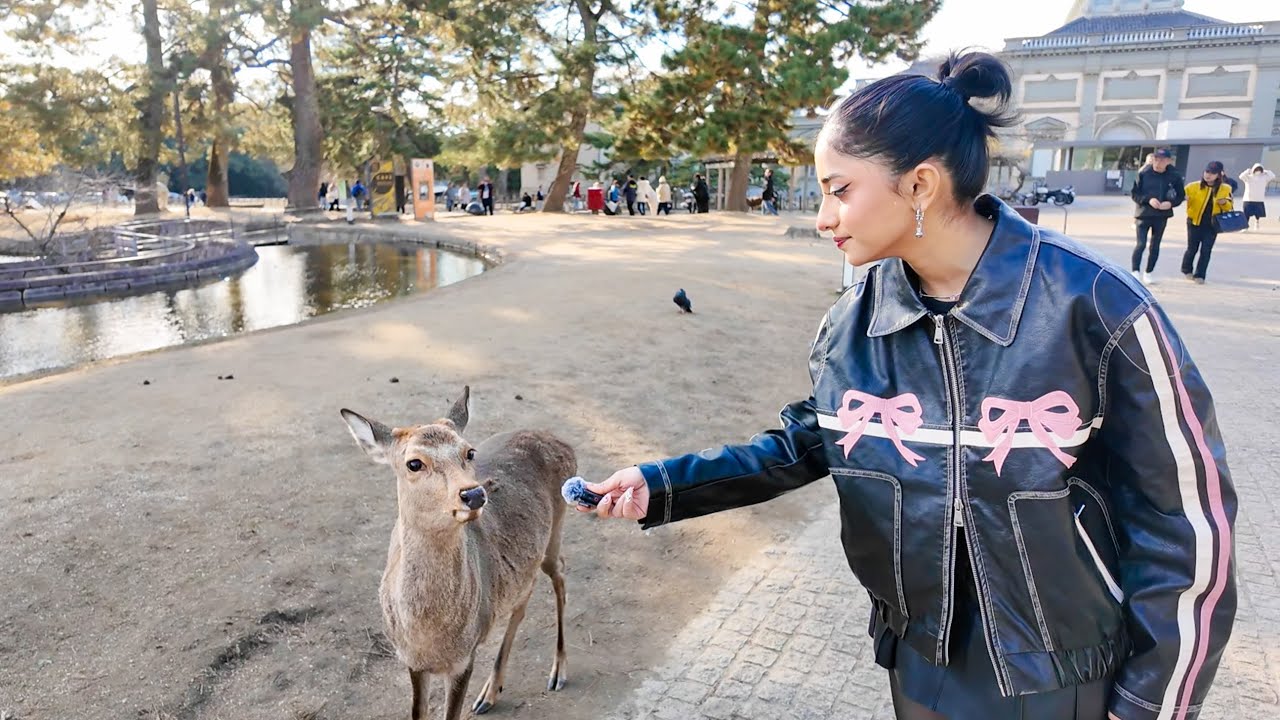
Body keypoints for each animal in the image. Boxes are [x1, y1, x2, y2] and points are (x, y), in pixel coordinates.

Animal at [340, 386, 575, 720]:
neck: (430, 637)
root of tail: (561, 441)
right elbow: (419, 713)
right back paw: (490, 692)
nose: (474, 494)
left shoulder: (465, 658)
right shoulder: (412, 661)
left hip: (558, 527)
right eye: (414, 463)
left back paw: (557, 672)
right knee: (523, 599)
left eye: (469, 452)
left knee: (561, 573)